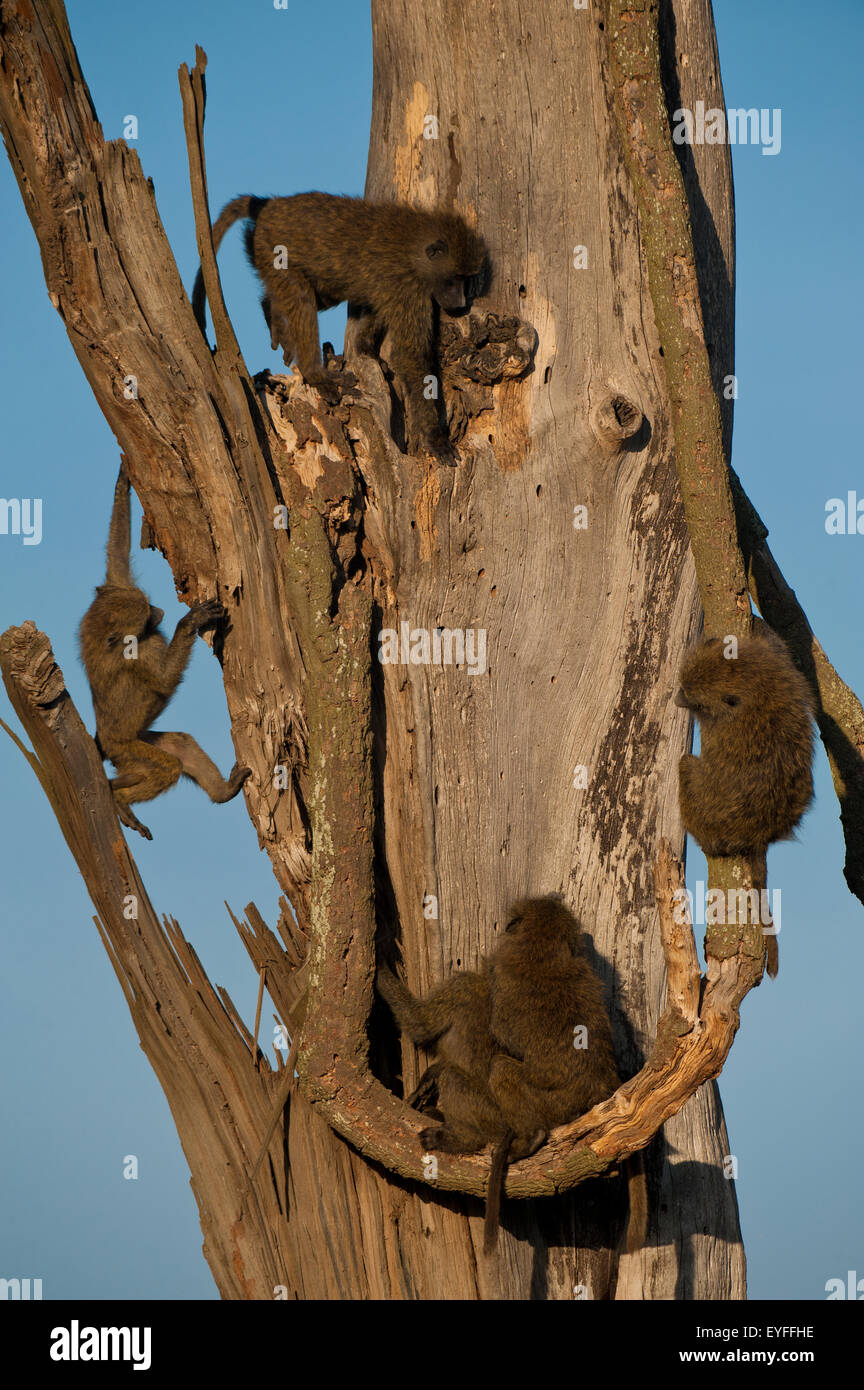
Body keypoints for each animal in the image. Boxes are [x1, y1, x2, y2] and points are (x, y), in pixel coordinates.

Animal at [78, 465, 251, 840]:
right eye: (145, 615)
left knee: (180, 746)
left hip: (137, 747)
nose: (159, 612)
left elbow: (117, 556)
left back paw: (222, 791)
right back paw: (118, 800)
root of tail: (103, 745)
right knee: (168, 767)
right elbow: (164, 678)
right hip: (128, 749)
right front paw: (190, 622)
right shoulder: (135, 658)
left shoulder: (116, 587)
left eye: (147, 606)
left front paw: (122, 479)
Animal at [192, 193, 490, 456]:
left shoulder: (391, 287)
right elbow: (411, 358)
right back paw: (316, 374)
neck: (414, 242)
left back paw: (273, 313)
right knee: (302, 295)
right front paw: (435, 436)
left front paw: (366, 348)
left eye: (466, 278)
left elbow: (376, 308)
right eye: (455, 278)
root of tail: (271, 204)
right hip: (270, 248)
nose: (460, 302)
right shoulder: (407, 286)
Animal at [486, 898, 648, 1255]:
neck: (543, 950)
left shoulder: (503, 982)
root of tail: (600, 1088)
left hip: (552, 1105)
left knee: (501, 1070)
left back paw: (531, 1136)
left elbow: (501, 1036)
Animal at [676, 631, 815, 859]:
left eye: (698, 703)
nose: (677, 700)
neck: (757, 686)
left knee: (686, 764)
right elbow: (777, 645)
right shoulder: (777, 663)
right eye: (683, 688)